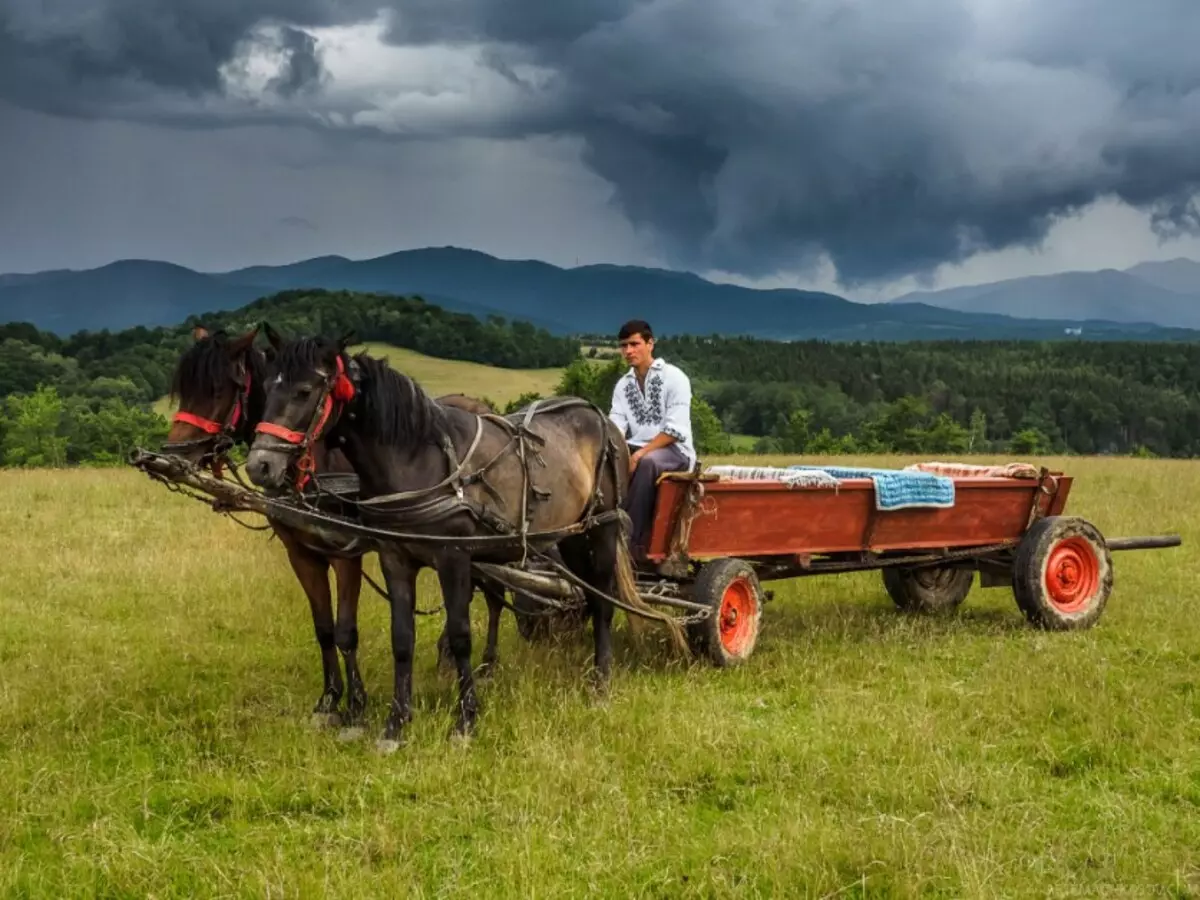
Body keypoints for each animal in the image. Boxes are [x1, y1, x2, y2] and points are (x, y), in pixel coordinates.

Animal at [160, 324, 516, 734]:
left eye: (218, 389)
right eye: (184, 389)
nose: (173, 454)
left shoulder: (346, 553)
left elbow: (347, 630)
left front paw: (356, 706)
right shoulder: (302, 554)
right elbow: (324, 628)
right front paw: (329, 699)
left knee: (493, 596)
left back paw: (487, 663)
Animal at [243, 336, 686, 748]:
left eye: (304, 391)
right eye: (264, 386)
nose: (260, 465)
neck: (417, 460)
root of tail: (604, 422)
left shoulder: (451, 556)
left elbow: (459, 637)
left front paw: (465, 721)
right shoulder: (393, 557)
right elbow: (401, 638)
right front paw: (395, 724)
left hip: (601, 528)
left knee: (602, 602)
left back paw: (600, 682)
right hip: (571, 535)